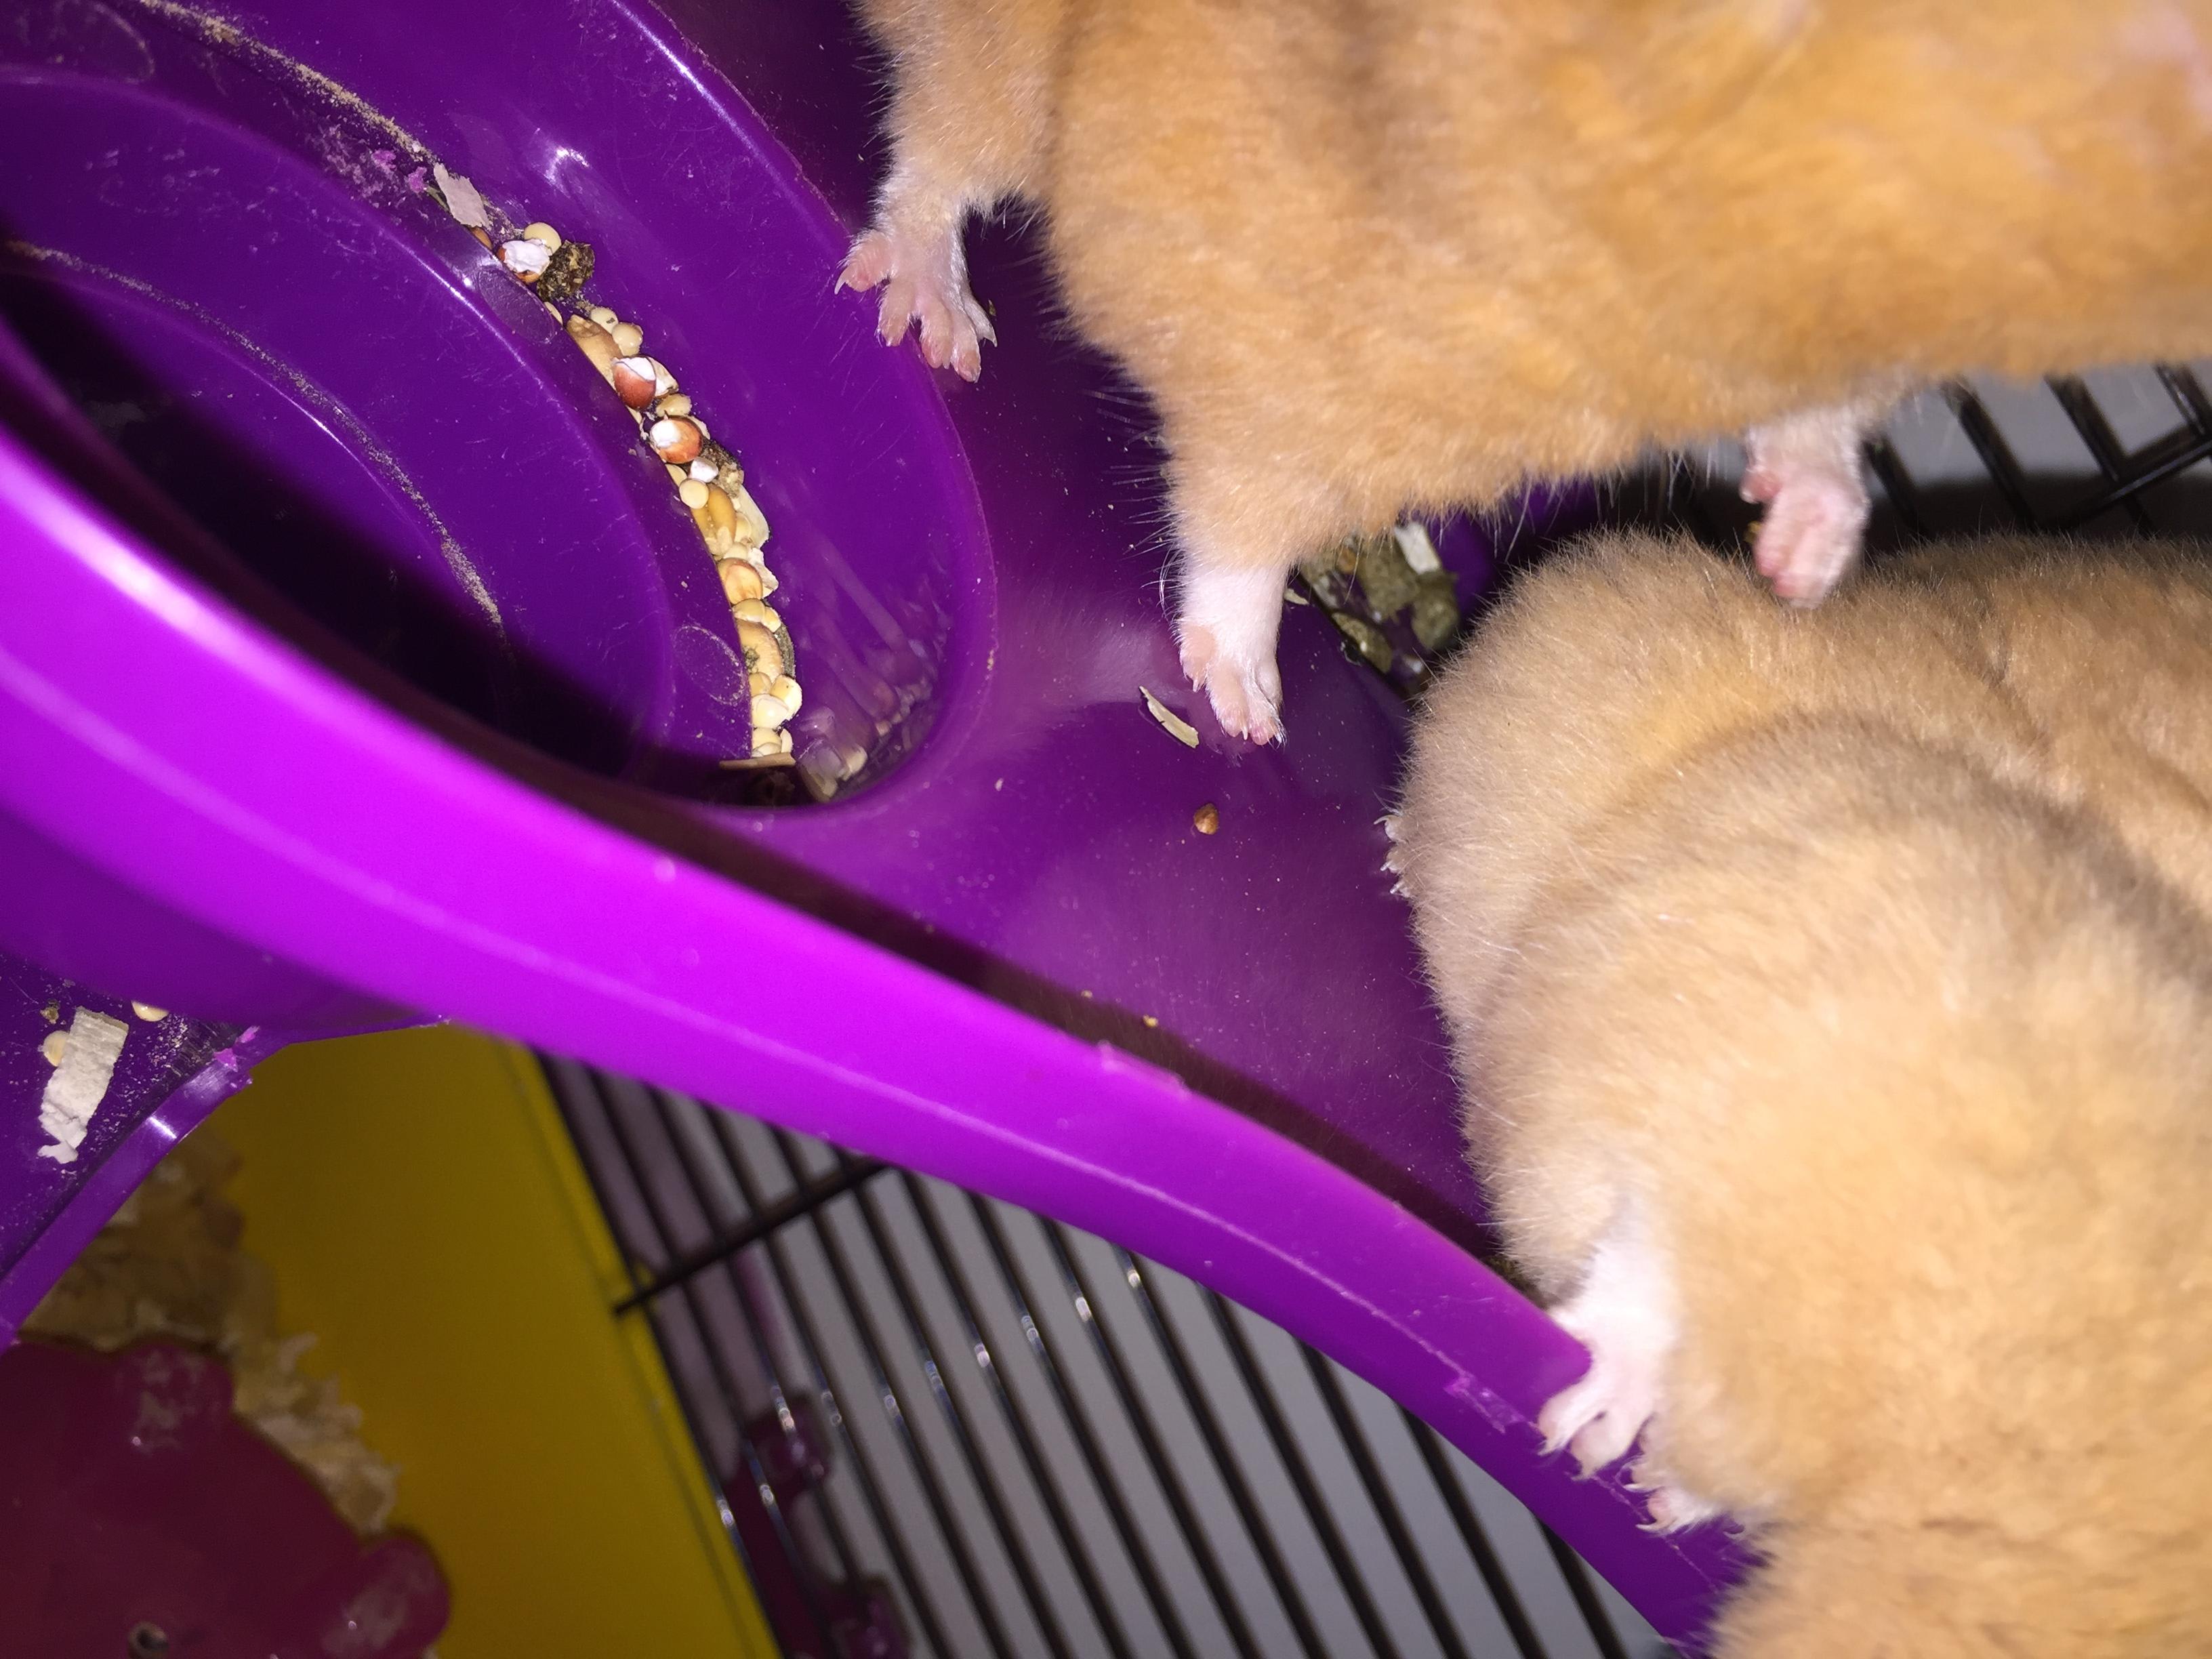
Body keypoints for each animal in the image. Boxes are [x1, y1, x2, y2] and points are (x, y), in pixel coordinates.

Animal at [838, 0, 2212, 743]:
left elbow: (1818, 431)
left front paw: (1800, 569)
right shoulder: (1301, 359)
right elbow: (1242, 520)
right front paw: (1248, 702)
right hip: (1001, 66)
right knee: (934, 144)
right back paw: (931, 316)